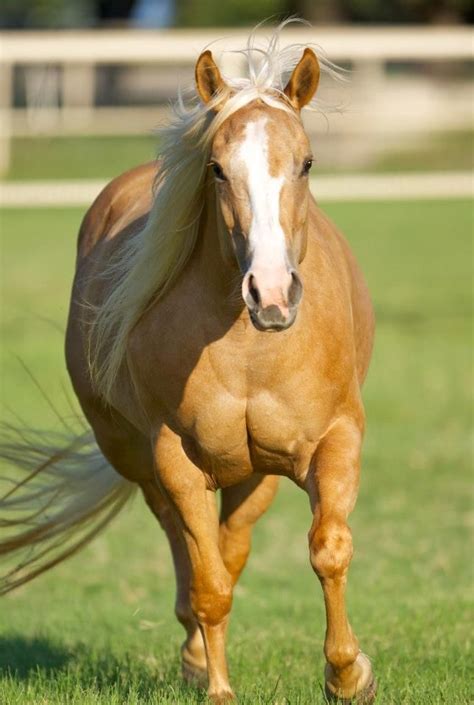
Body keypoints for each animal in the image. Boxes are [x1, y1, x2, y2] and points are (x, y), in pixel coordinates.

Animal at [0, 28, 376, 704]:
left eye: (306, 163)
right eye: (218, 168)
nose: (272, 294)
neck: (253, 349)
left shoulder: (337, 440)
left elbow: (328, 550)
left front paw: (347, 674)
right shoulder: (176, 458)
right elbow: (209, 584)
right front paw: (218, 686)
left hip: (256, 473)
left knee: (233, 544)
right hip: (145, 464)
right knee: (189, 552)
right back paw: (197, 657)